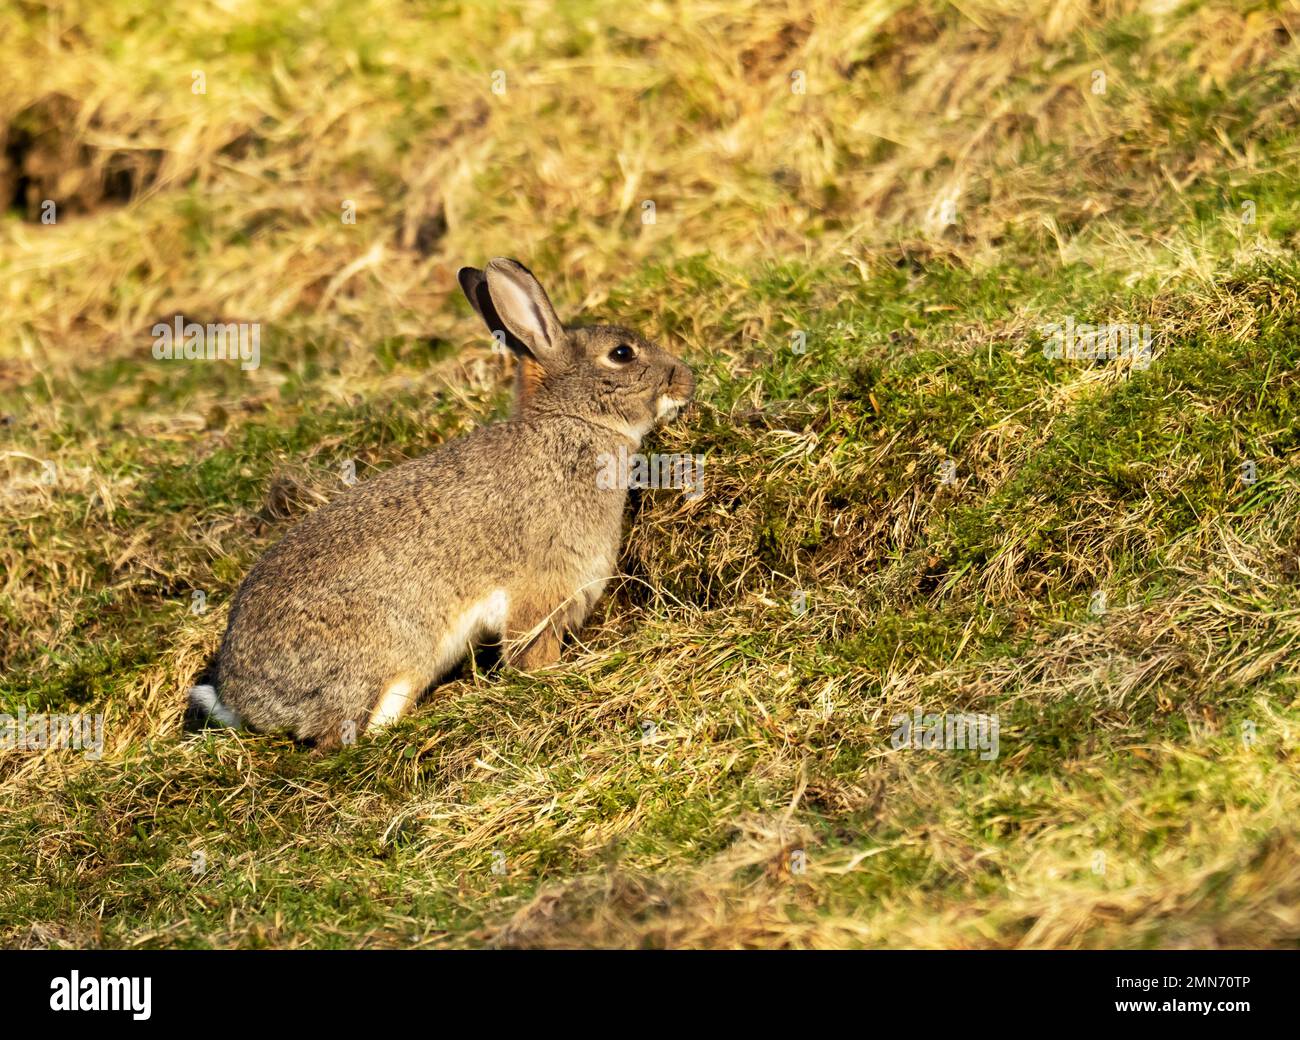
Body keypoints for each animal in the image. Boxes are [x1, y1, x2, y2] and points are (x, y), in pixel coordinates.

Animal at [188, 258, 695, 750]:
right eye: (622, 354)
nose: (687, 378)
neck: (572, 423)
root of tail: (247, 700)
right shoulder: (542, 588)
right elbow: (530, 650)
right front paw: (552, 674)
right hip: (391, 657)